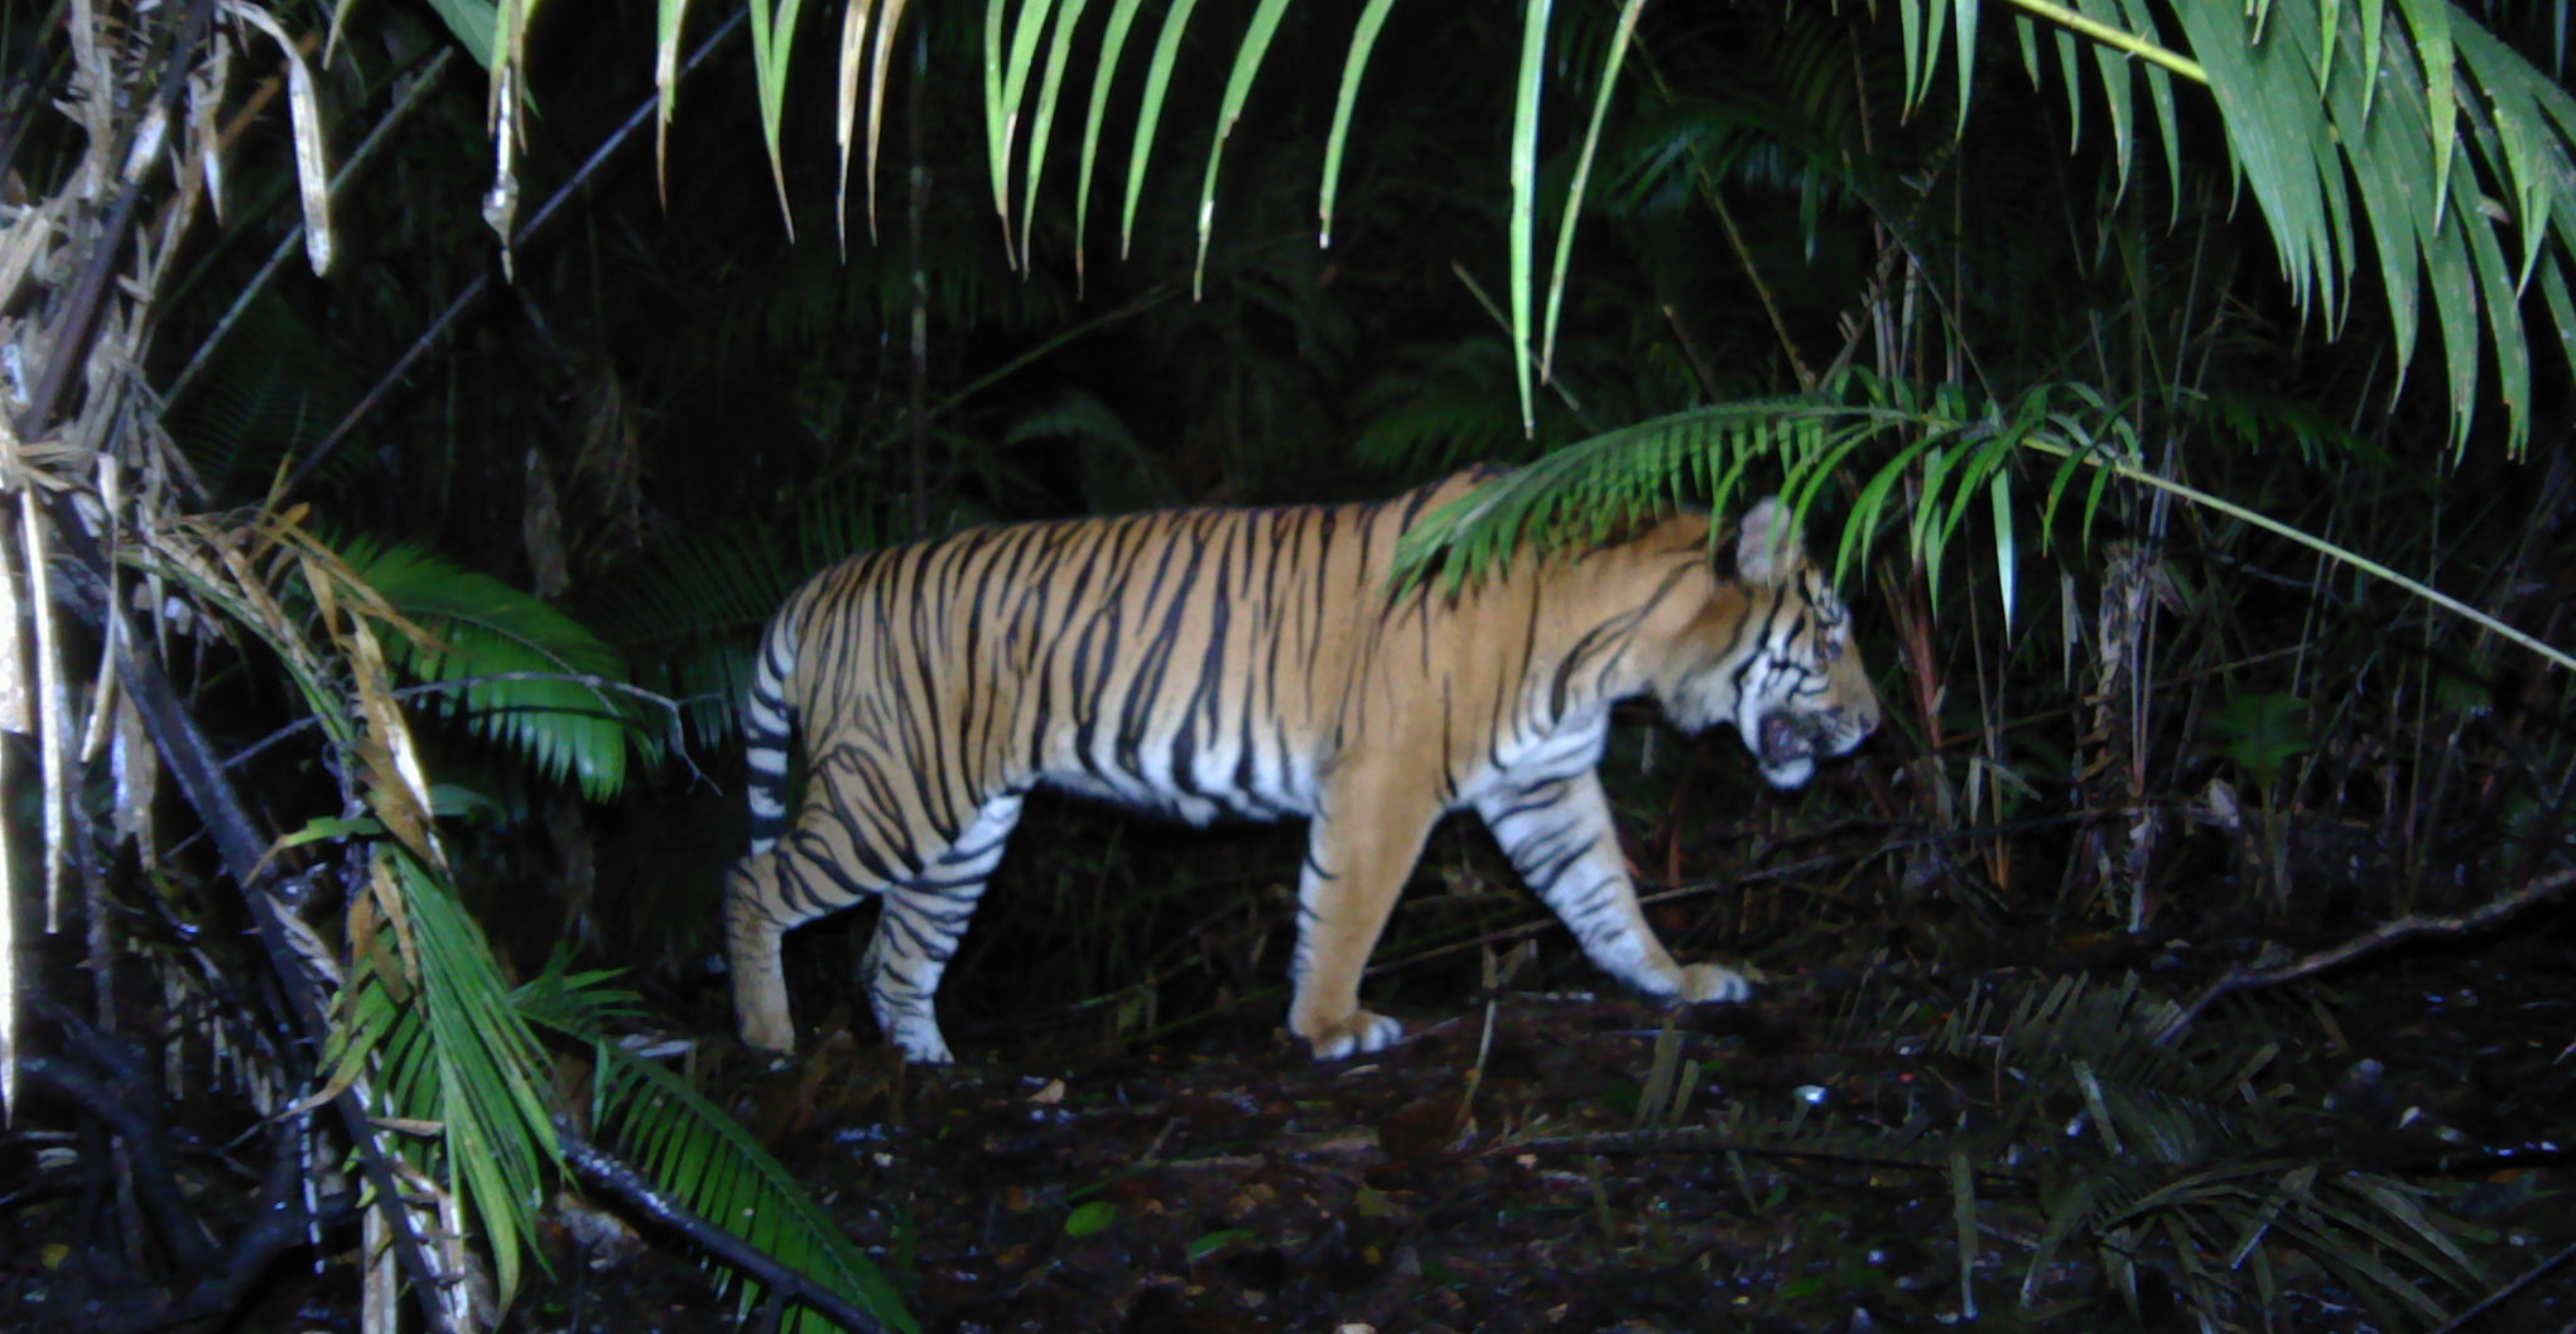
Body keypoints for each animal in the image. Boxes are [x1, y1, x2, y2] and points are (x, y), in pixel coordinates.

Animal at [723, 467, 1880, 1063]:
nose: (1874, 726)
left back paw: (931, 1068)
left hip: (964, 827)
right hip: (894, 794)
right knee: (753, 882)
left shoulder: (1543, 785)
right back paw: (770, 1040)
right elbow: (1347, 911)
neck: (1616, 648)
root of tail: (820, 581)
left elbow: (1606, 897)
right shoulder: (1387, 779)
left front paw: (1675, 979)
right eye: (1829, 640)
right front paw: (1331, 1026)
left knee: (896, 954)